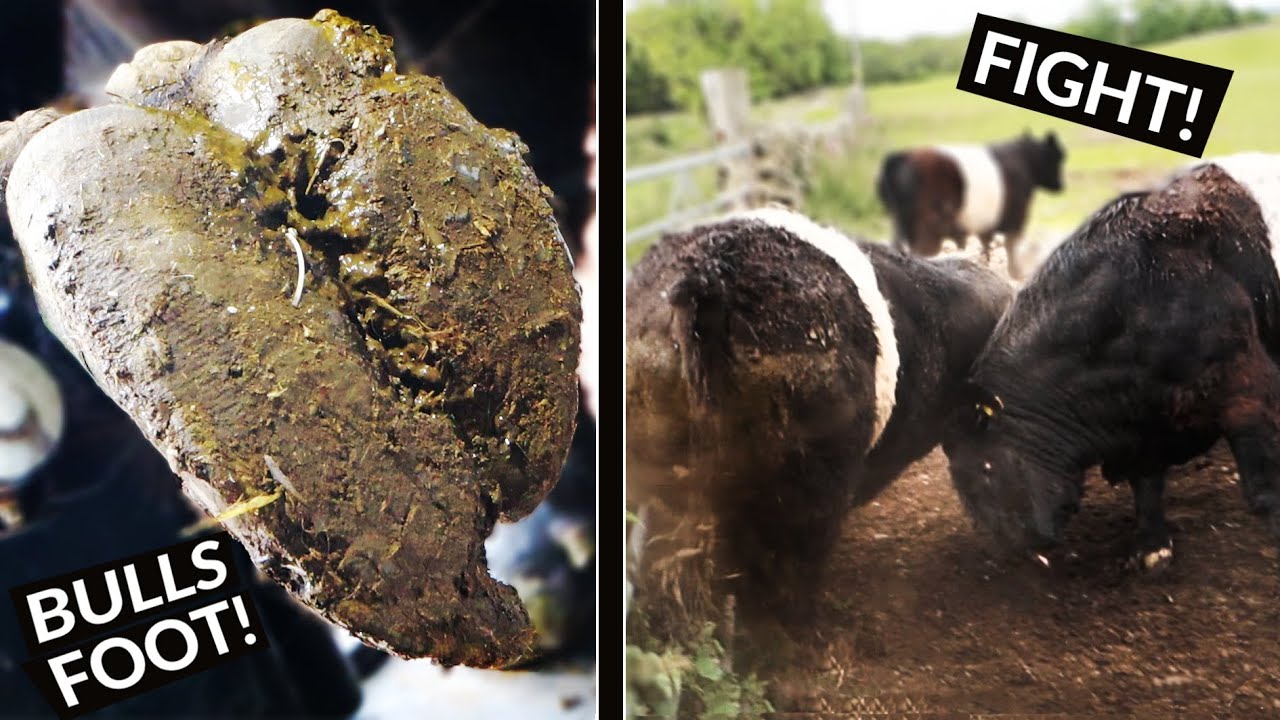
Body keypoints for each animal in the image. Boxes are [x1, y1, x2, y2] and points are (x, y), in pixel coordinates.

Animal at [876, 131, 1067, 279]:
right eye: (1057, 159)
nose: (1061, 186)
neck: (1024, 161)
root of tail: (902, 157)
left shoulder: (987, 224)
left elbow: (986, 245)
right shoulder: (1016, 217)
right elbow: (1010, 246)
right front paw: (1016, 274)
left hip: (902, 224)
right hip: (926, 227)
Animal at [943, 154, 1280, 573]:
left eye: (985, 474)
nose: (1013, 548)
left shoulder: (1246, 386)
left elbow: (1261, 488)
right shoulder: (1143, 426)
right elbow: (1147, 483)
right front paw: (1151, 545)